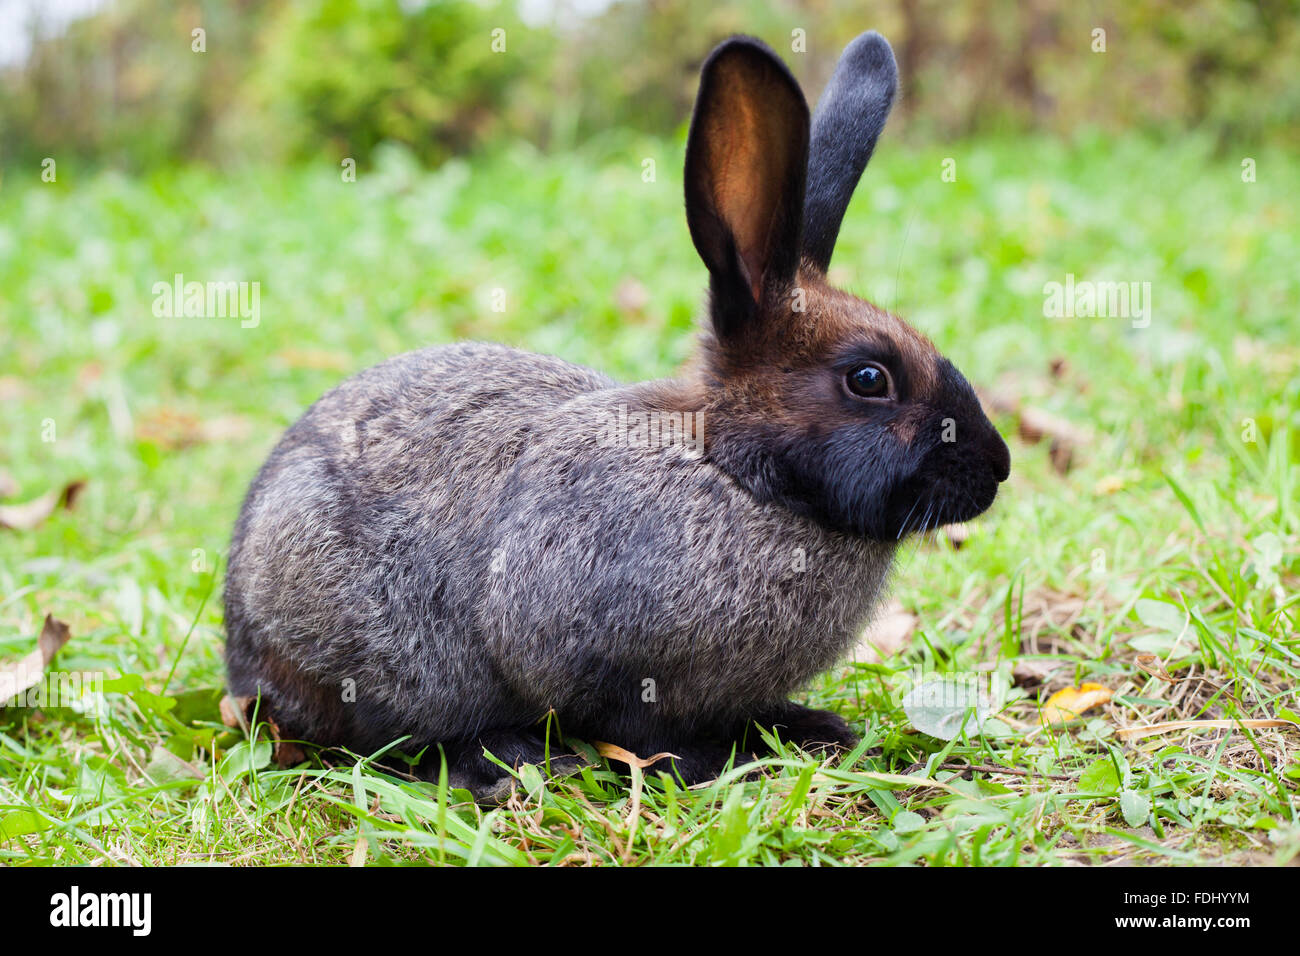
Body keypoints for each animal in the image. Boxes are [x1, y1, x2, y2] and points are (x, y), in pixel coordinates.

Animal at [223, 31, 1011, 799]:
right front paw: (708, 760)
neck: (731, 470)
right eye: (869, 378)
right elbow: (630, 724)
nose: (997, 468)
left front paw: (808, 727)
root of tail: (241, 645)